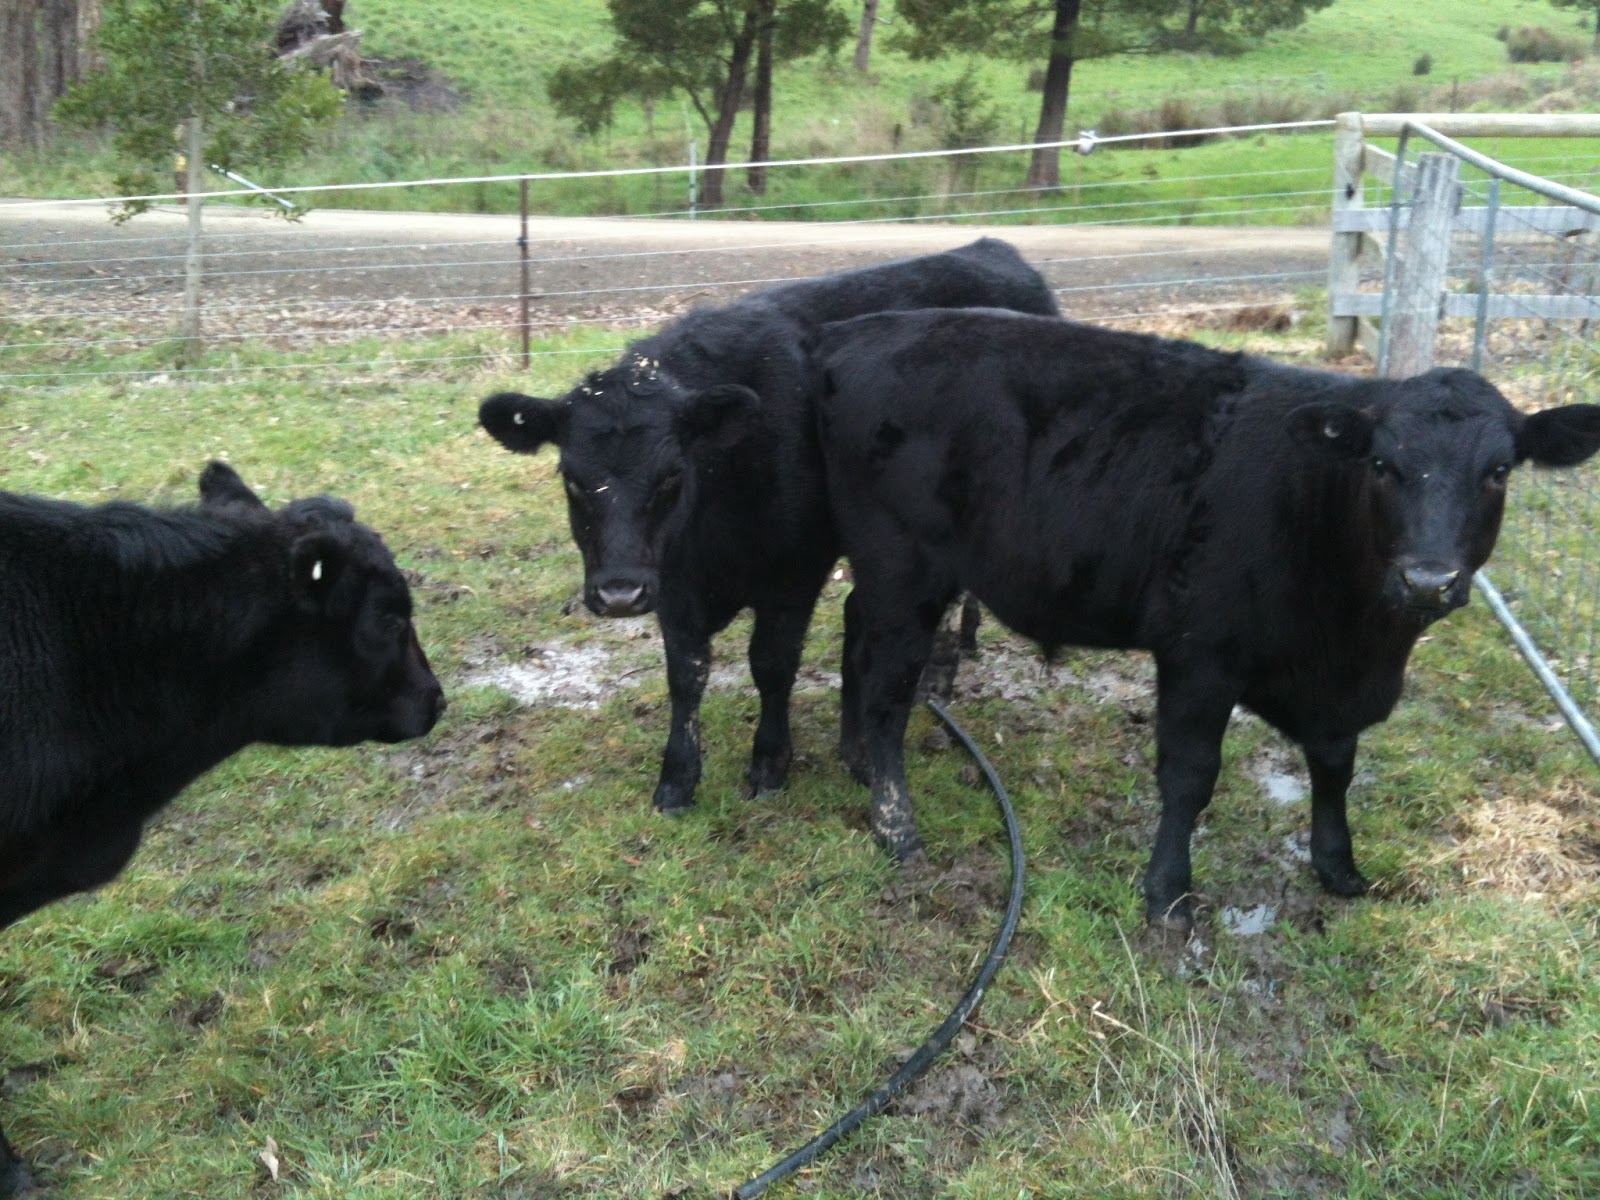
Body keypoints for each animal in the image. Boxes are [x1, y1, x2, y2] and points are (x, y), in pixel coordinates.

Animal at [479, 238, 1059, 815]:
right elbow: (686, 676)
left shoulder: (795, 571)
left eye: (673, 475)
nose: (620, 592)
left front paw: (769, 764)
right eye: (571, 478)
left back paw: (938, 671)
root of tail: (991, 249)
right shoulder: (673, 584)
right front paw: (677, 780)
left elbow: (772, 664)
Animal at [816, 308, 1600, 931]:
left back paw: (855, 761)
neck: (1358, 640)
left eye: (1499, 471)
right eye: (1381, 464)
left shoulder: (1336, 686)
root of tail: (864, 331)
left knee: (856, 633)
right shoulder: (1200, 653)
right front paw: (1168, 893)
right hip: (905, 566)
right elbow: (1191, 775)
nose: (1428, 580)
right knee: (887, 686)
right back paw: (895, 826)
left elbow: (1336, 768)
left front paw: (1339, 869)